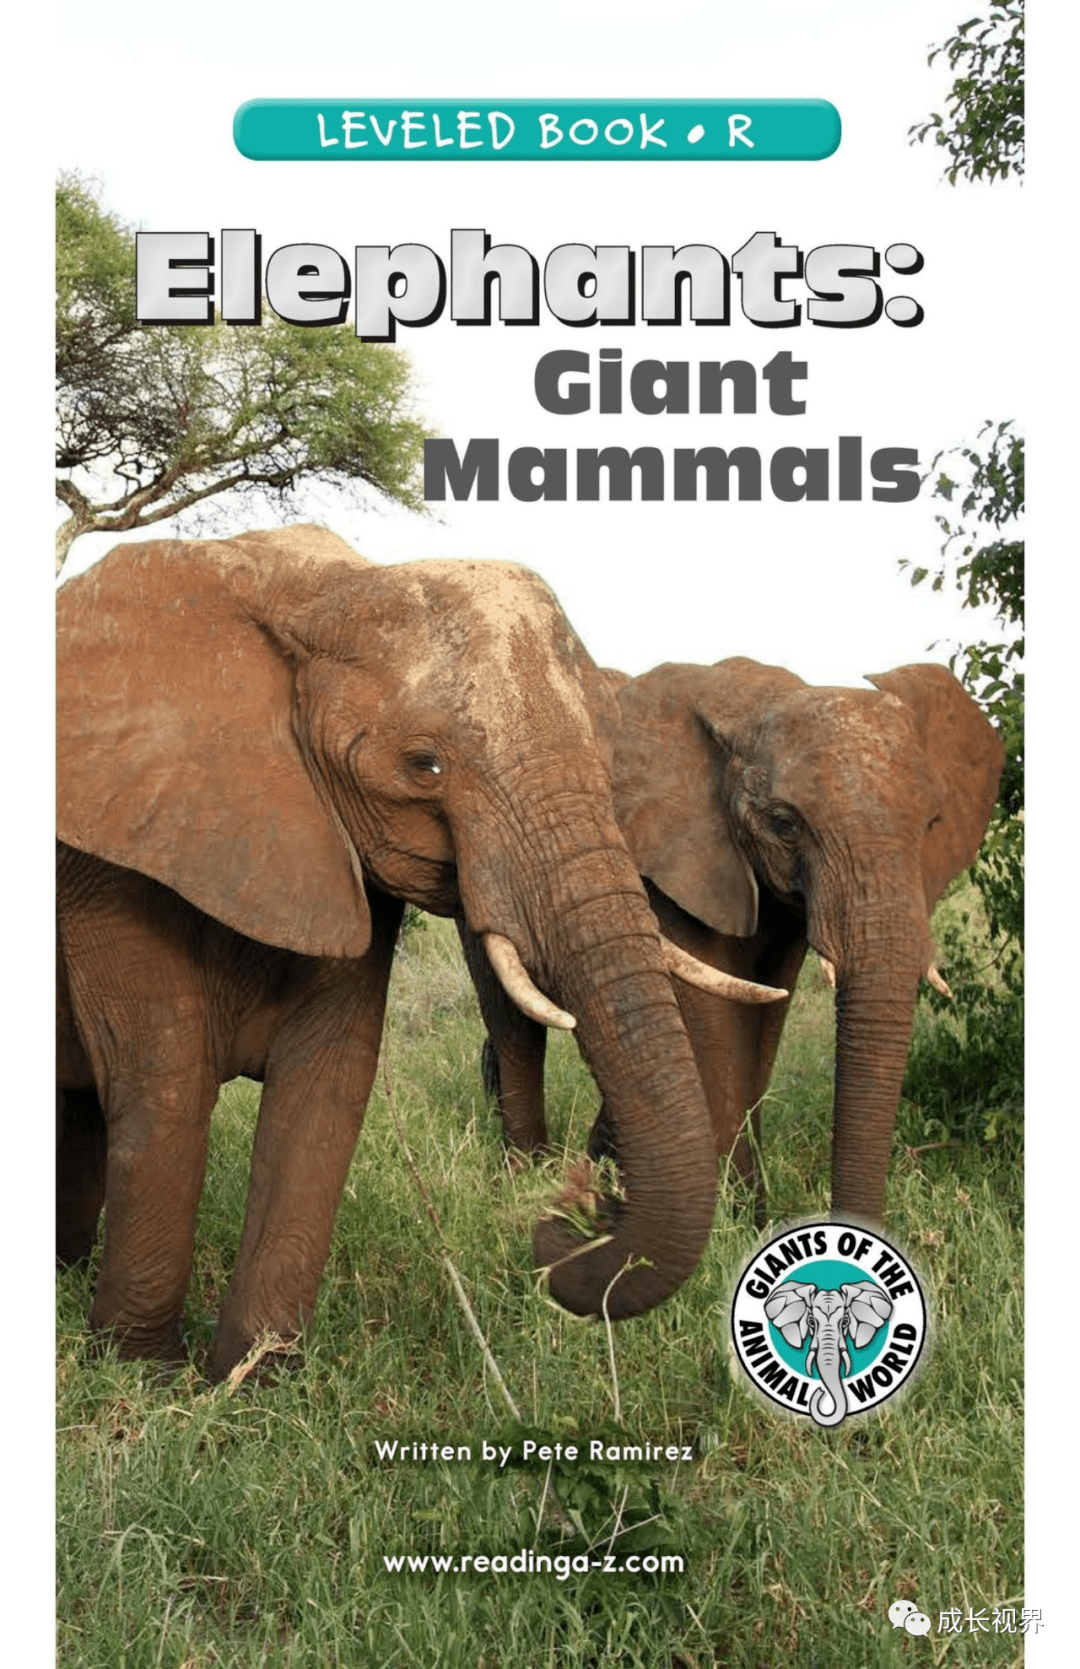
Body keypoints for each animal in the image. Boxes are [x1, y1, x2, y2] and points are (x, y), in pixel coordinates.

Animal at [57, 526, 779, 1381]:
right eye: (423, 764)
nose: (567, 1208)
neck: (317, 589)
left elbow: (327, 1083)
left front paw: (257, 1379)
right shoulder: (110, 857)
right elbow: (164, 1082)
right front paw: (143, 1374)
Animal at [465, 656, 1004, 1224]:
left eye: (933, 823)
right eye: (784, 824)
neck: (757, 702)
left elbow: (767, 1006)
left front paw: (749, 1214)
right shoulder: (666, 860)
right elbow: (712, 1013)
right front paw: (736, 1219)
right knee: (513, 1016)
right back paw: (528, 1173)